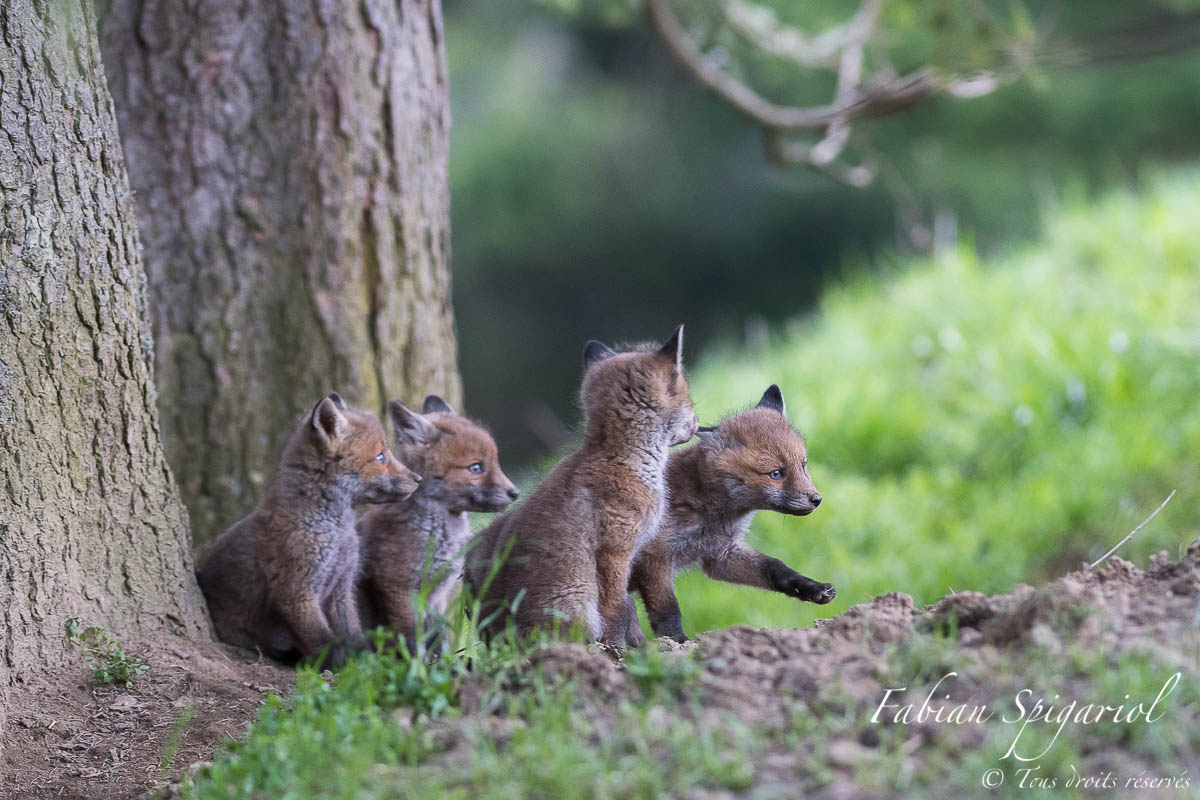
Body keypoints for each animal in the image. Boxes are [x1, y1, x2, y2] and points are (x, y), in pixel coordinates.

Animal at [196, 393, 421, 667]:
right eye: (380, 457)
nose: (419, 479)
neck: (335, 532)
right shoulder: (297, 592)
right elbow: (327, 644)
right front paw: (338, 668)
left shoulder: (341, 589)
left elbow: (354, 636)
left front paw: (366, 663)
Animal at [357, 395, 518, 646]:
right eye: (476, 468)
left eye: (496, 463)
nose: (515, 493)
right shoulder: (397, 587)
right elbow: (412, 637)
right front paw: (416, 658)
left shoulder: (436, 596)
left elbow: (438, 637)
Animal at [464, 326, 699, 647]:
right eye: (688, 400)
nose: (699, 423)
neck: (621, 459)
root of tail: (505, 644)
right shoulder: (614, 551)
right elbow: (617, 608)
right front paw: (617, 649)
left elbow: (628, 607)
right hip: (577, 601)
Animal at [625, 384, 835, 645]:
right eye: (776, 474)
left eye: (803, 465)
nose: (816, 499)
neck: (714, 518)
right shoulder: (655, 556)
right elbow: (668, 610)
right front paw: (678, 643)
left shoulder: (721, 554)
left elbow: (775, 567)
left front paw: (811, 588)